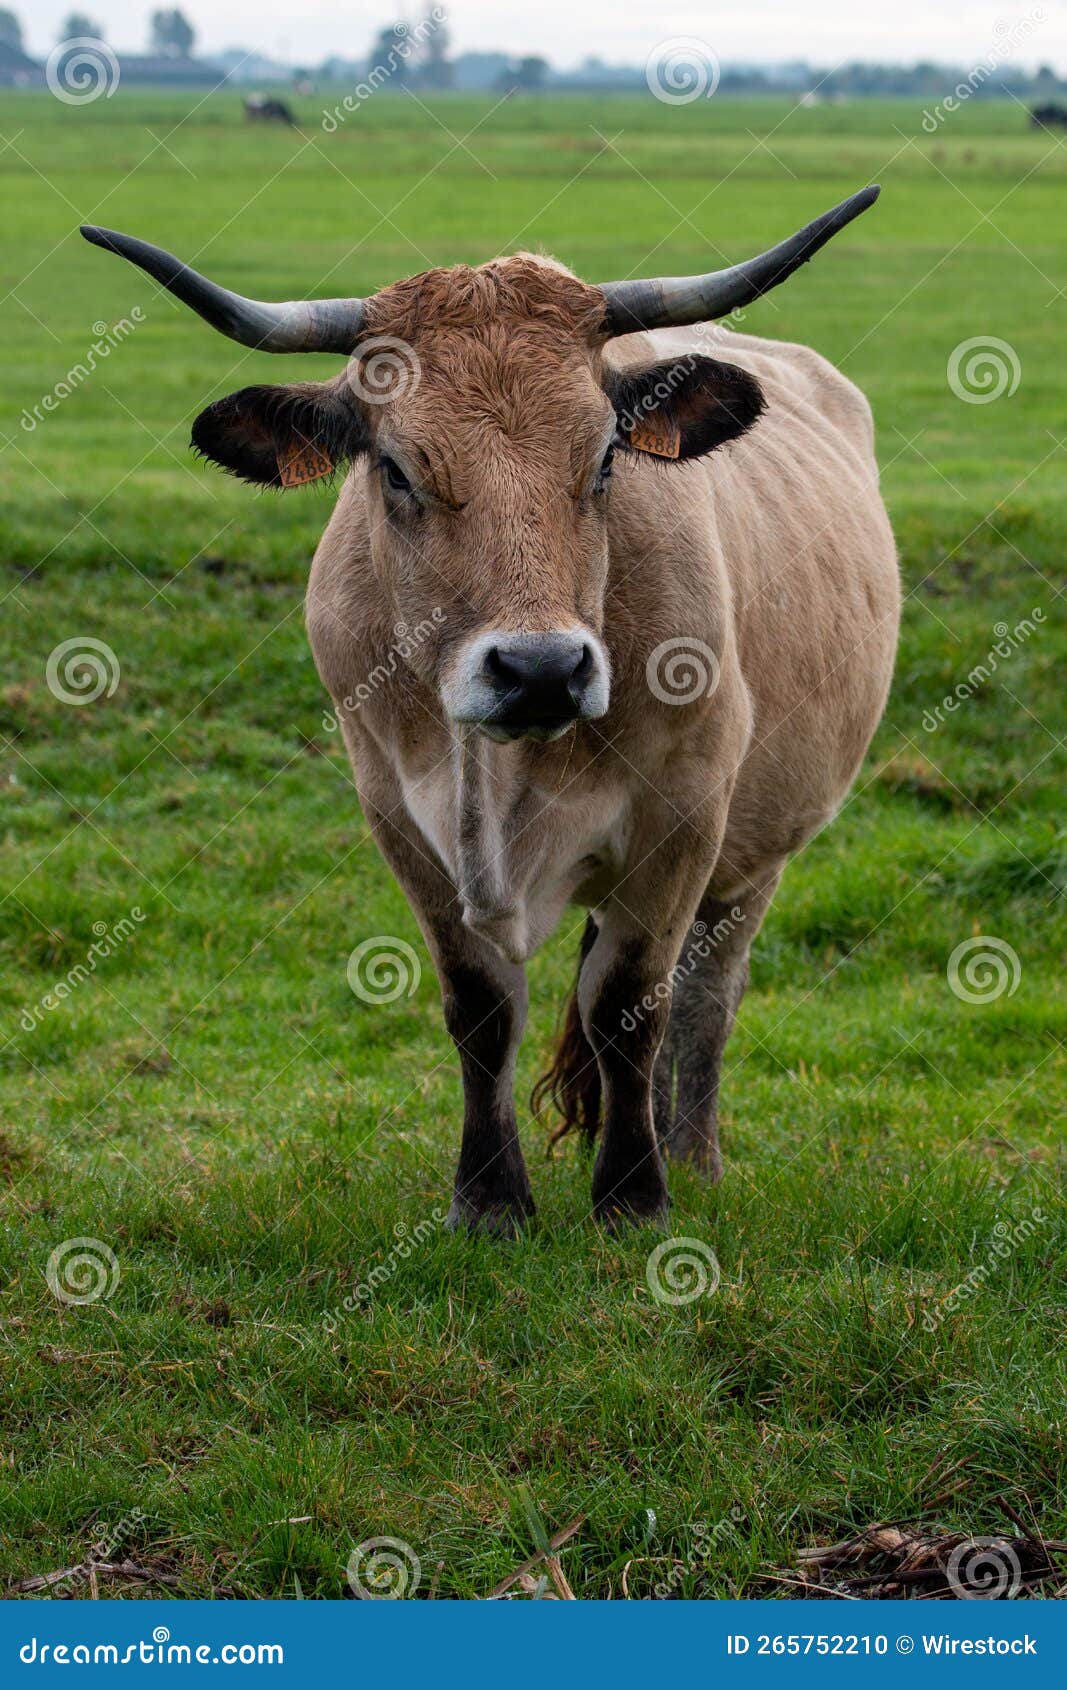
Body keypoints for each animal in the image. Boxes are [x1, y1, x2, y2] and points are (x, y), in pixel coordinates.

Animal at [81, 188, 899, 1234]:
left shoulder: (684, 819)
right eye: (395, 470)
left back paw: (692, 1157)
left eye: (603, 461)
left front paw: (634, 1196)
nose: (539, 670)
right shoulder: (397, 816)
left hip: (758, 848)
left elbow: (628, 1004)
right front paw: (489, 1199)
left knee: (704, 996)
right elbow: (481, 1009)